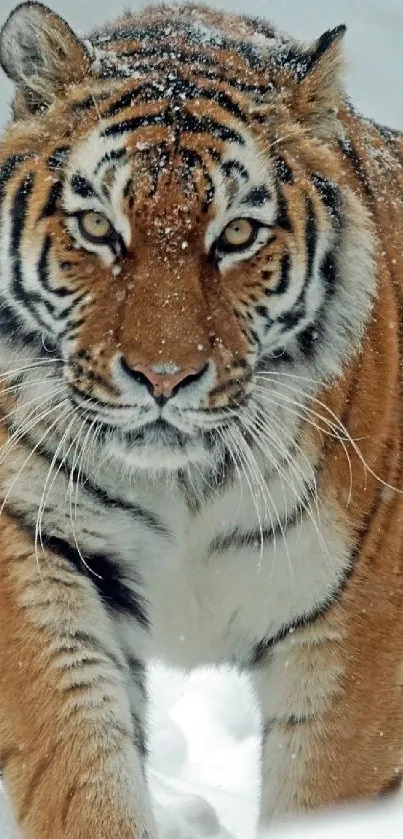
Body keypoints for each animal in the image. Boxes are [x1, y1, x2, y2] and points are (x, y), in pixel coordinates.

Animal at [0, 0, 402, 837]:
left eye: (236, 236)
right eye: (98, 227)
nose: (163, 377)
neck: (183, 482)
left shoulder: (360, 625)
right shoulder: (37, 547)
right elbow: (78, 764)